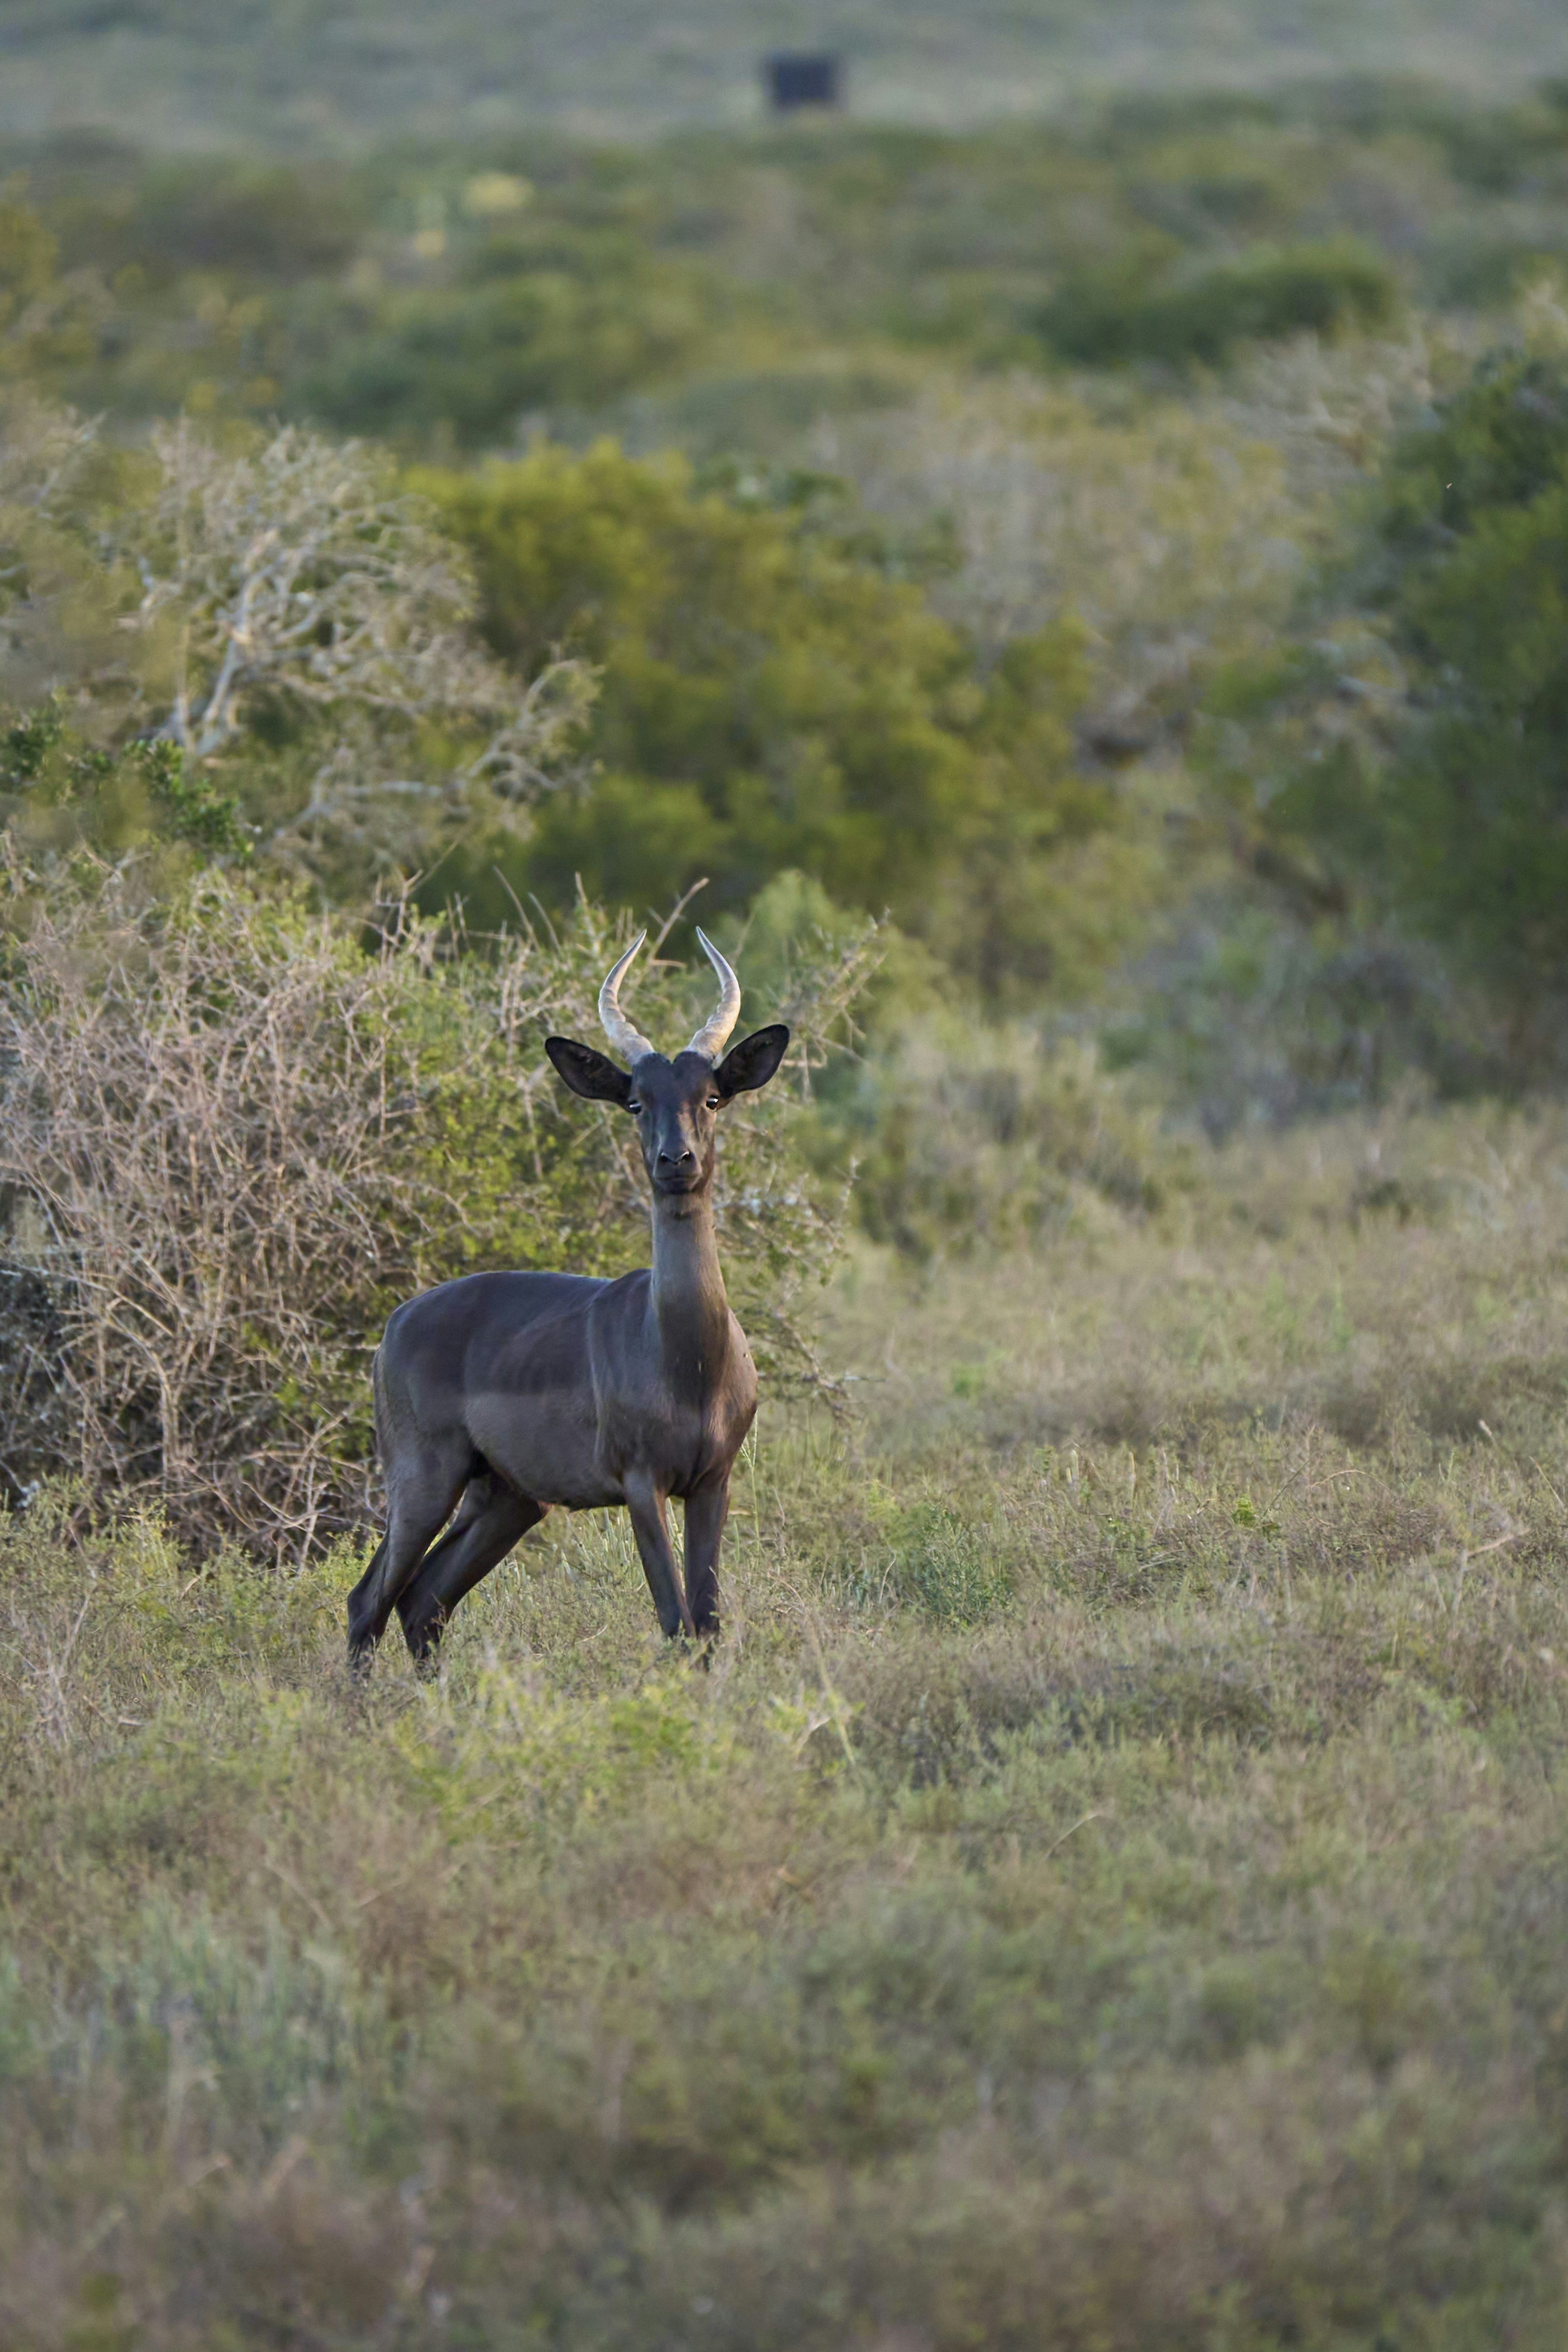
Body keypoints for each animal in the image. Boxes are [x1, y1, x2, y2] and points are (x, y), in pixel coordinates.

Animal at [346, 929, 790, 1671]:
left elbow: (707, 1623)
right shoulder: (642, 1483)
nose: (676, 1161)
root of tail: (394, 1324)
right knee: (369, 1600)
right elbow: (674, 1621)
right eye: (635, 1101)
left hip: (506, 1500)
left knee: (423, 1601)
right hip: (423, 1480)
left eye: (712, 1097)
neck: (688, 1360)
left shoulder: (712, 1482)